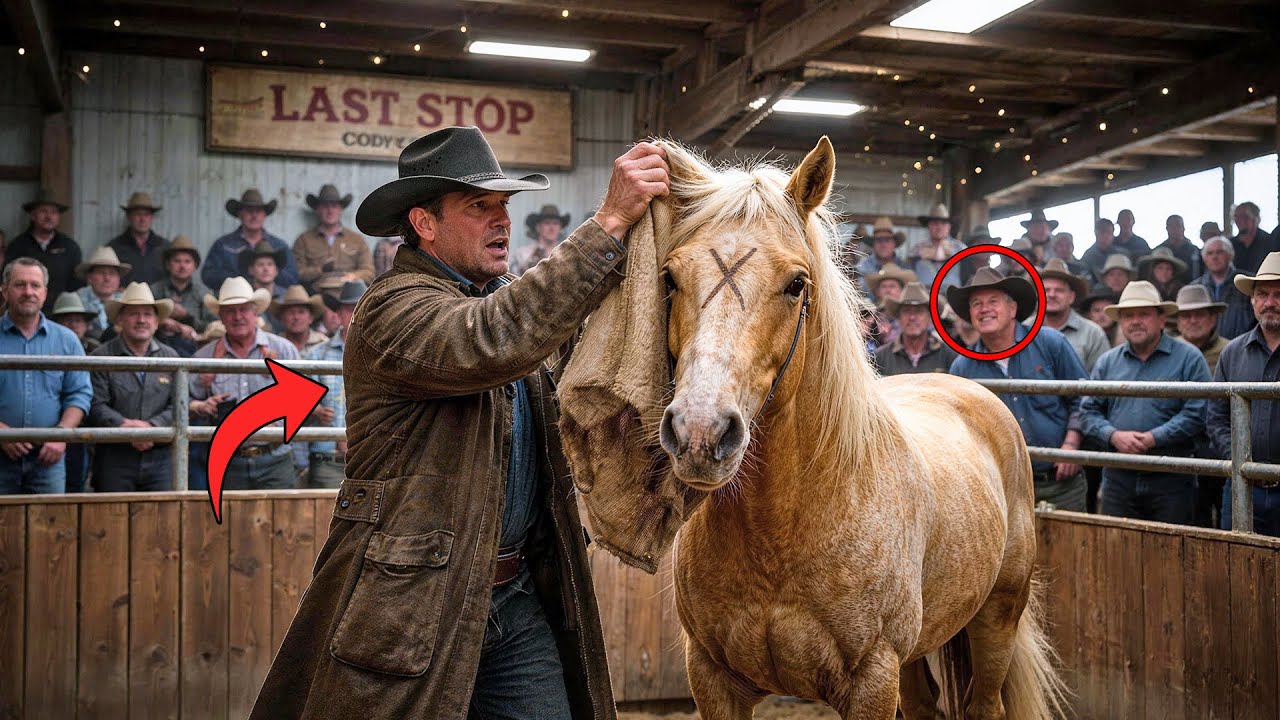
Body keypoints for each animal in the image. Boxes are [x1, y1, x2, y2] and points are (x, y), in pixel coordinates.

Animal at [656, 137, 1068, 719]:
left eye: (796, 284)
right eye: (670, 277)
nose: (701, 432)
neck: (786, 525)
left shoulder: (871, 680)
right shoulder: (712, 678)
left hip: (996, 621)